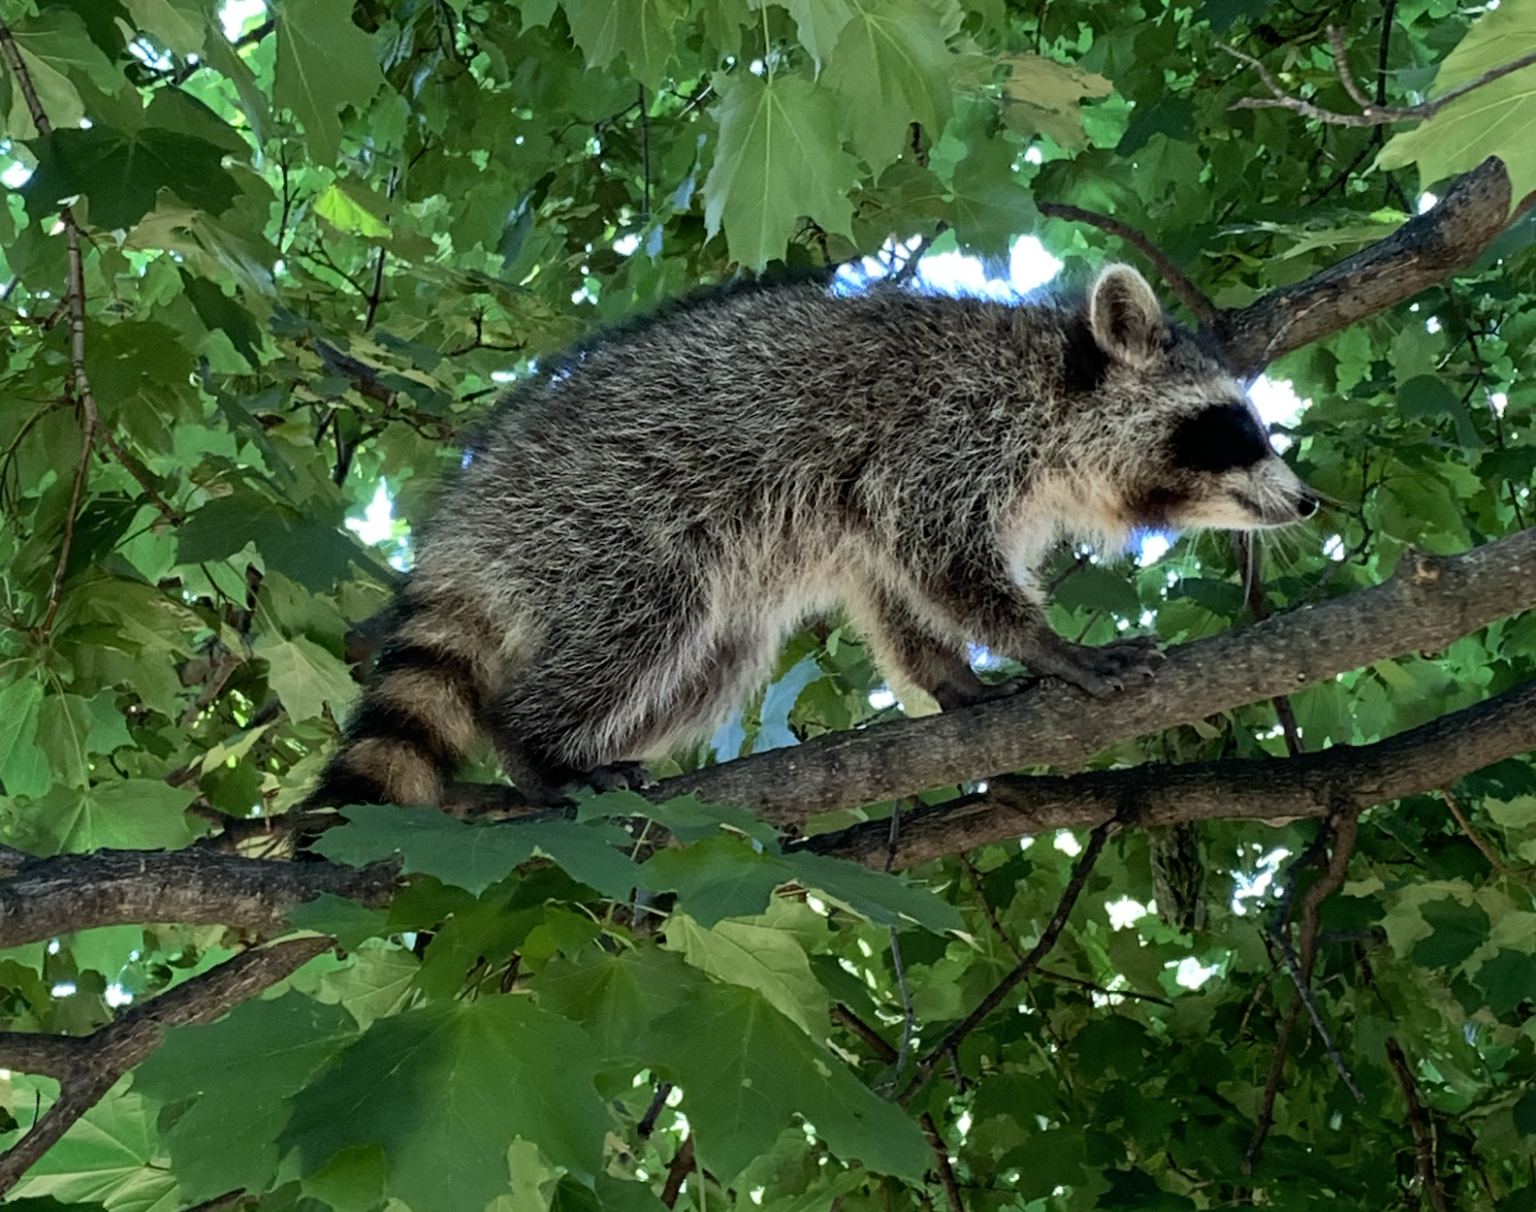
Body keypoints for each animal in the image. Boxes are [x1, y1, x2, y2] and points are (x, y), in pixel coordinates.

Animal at [312, 264, 1318, 809]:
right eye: (1235, 428)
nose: (1308, 502)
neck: (1053, 394)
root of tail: (466, 525)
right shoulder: (941, 435)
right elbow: (942, 560)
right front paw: (1047, 647)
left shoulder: (890, 502)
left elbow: (893, 590)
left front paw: (948, 676)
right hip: (601, 518)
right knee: (642, 623)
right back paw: (534, 744)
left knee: (706, 668)